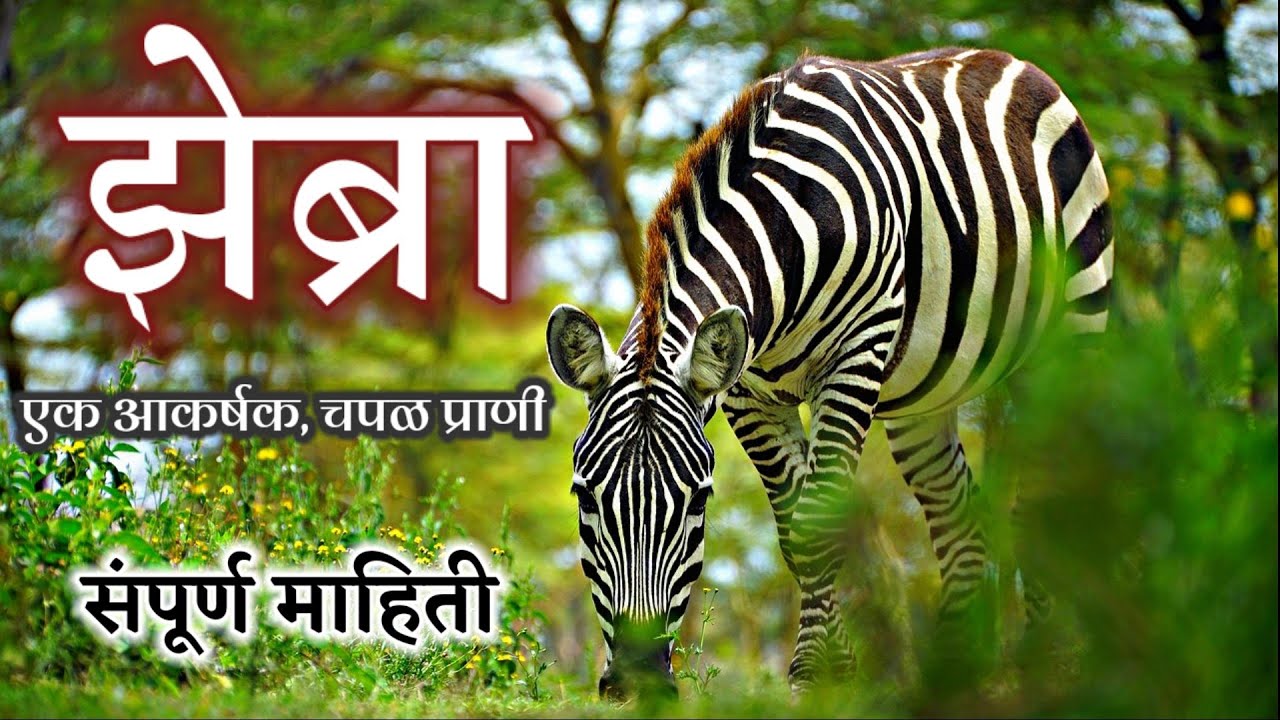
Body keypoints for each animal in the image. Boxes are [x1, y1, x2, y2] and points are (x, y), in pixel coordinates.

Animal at [545, 47, 1112, 697]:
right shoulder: (747, 392)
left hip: (1066, 335)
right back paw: (953, 675)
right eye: (584, 496)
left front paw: (816, 674)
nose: (638, 680)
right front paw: (835, 670)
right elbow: (795, 528)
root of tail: (1007, 58)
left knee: (1047, 497)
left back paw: (1050, 665)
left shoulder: (856, 354)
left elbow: (819, 520)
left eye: (698, 501)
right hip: (925, 396)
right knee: (957, 513)